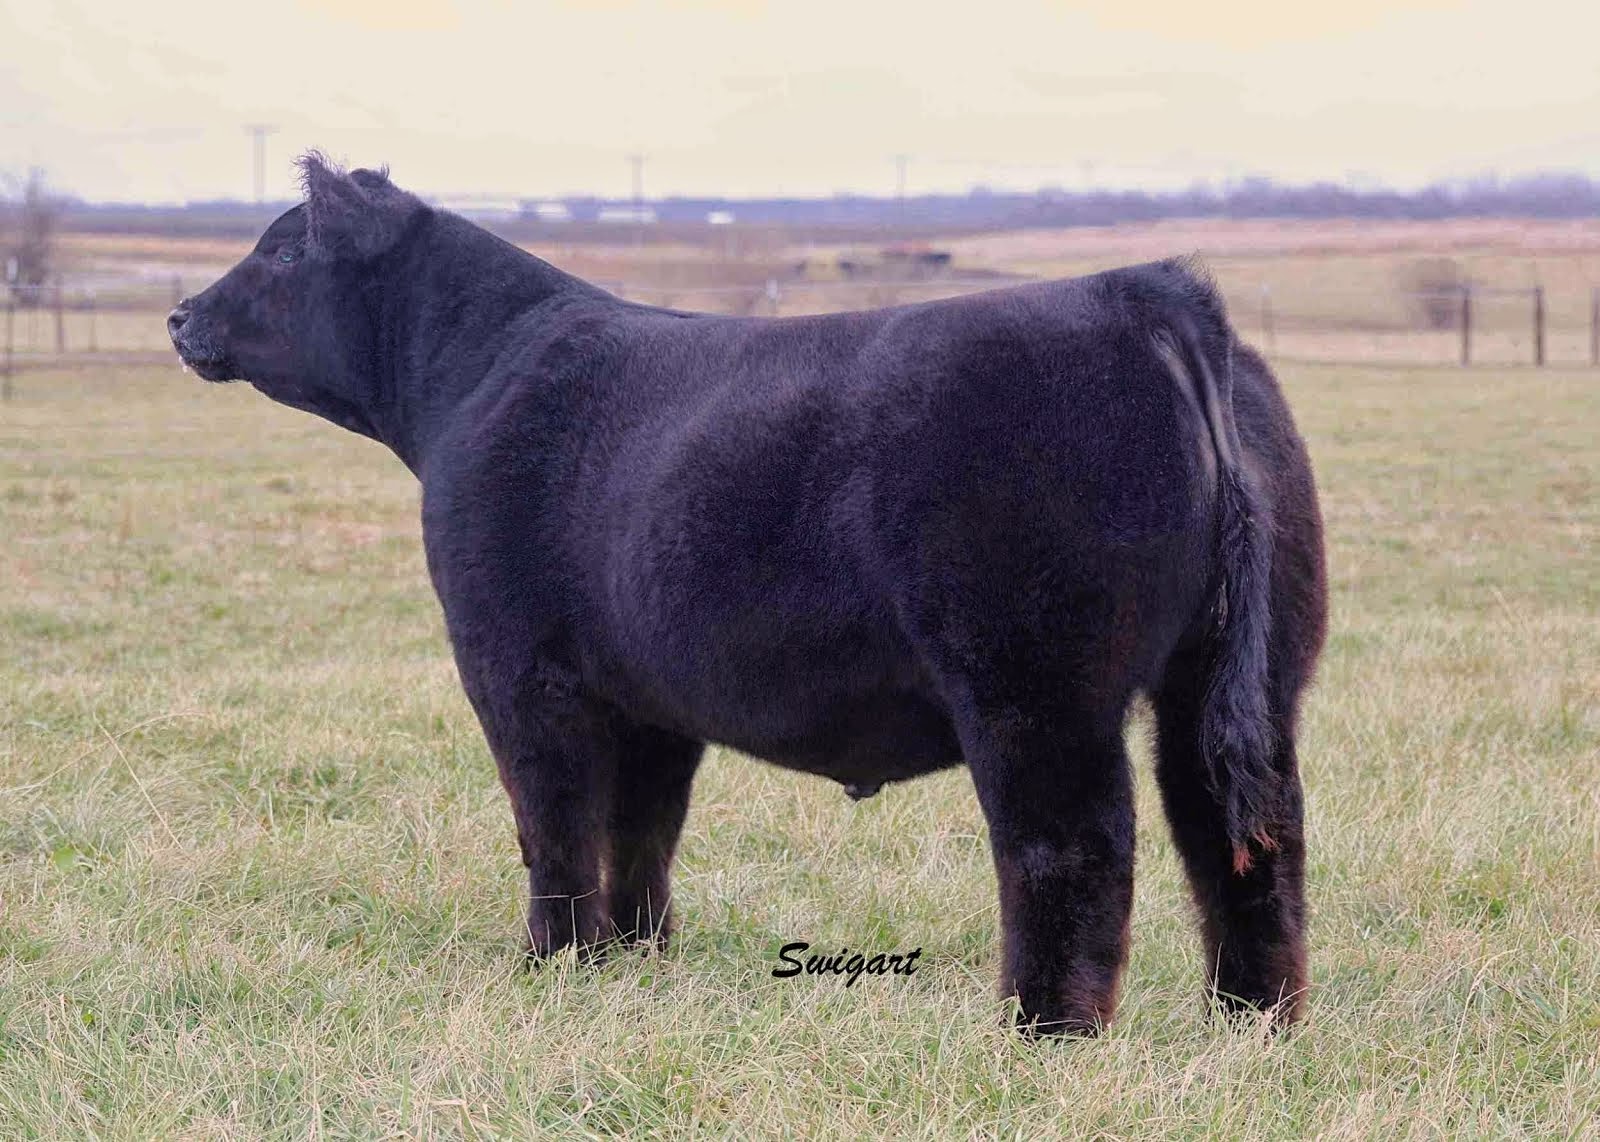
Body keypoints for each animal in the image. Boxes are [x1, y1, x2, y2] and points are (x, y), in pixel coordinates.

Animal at [167, 155, 1327, 1036]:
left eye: (283, 249)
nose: (181, 315)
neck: (473, 378)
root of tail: (1145, 294)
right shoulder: (642, 695)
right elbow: (636, 832)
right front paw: (629, 962)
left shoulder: (516, 668)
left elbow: (553, 825)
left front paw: (550, 966)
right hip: (1243, 680)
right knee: (1251, 840)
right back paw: (1250, 1022)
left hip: (1035, 686)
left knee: (1076, 848)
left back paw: (1042, 1032)